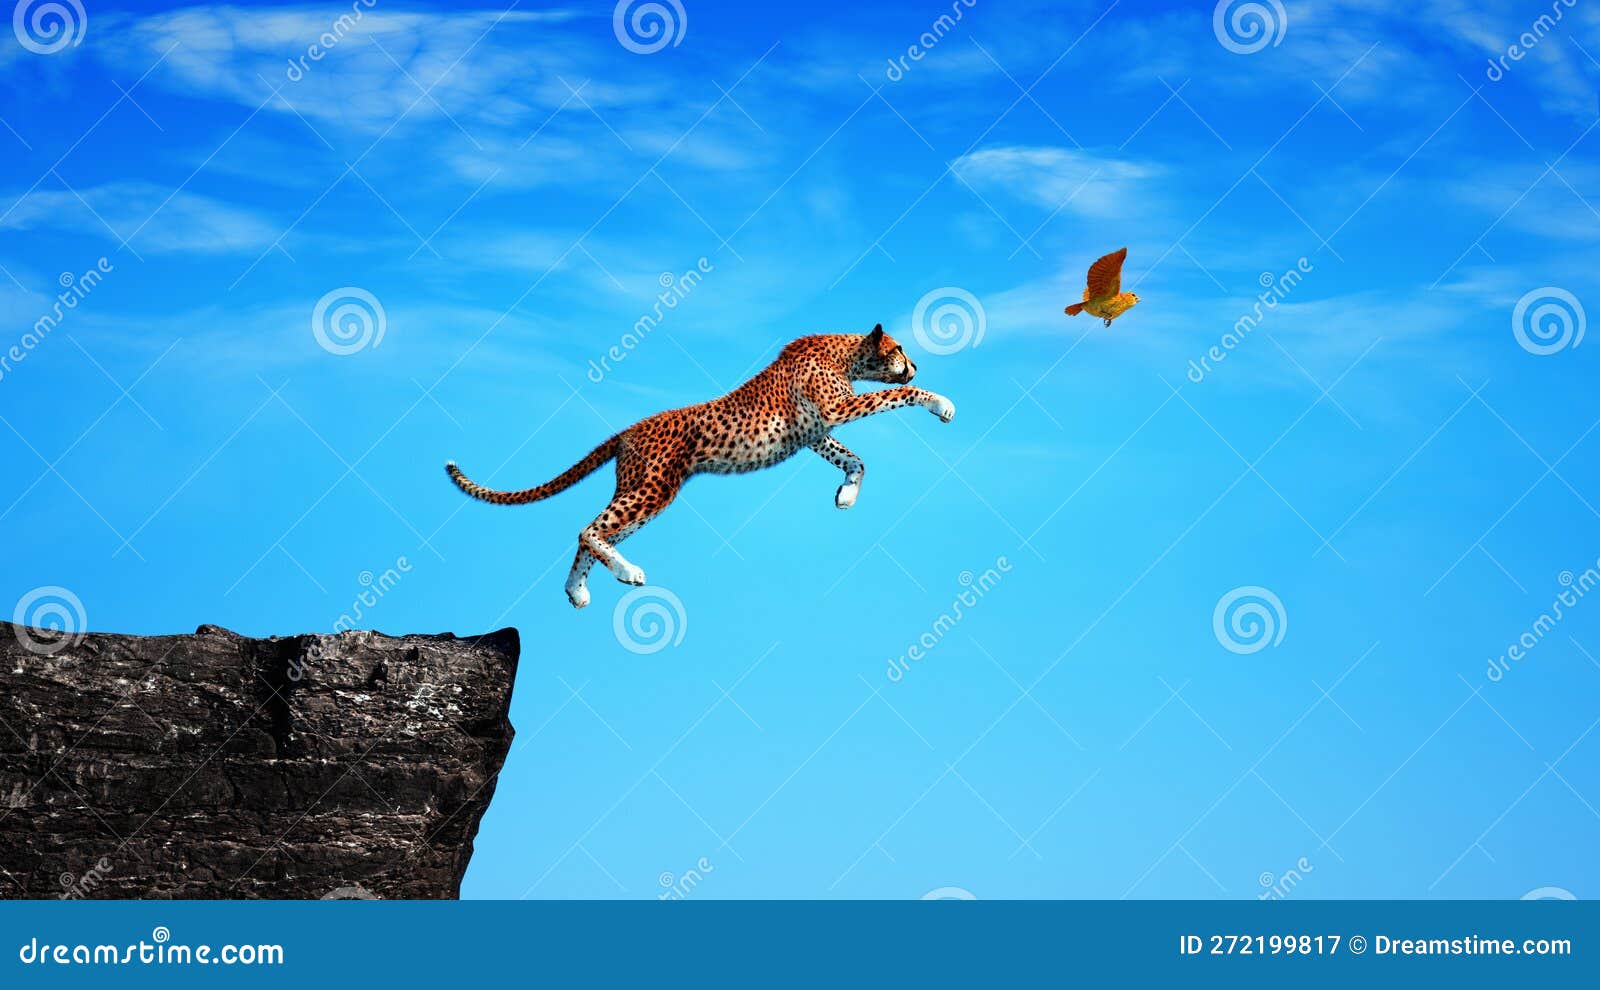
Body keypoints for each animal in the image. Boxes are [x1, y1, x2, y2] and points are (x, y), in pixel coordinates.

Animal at [446, 324, 956, 609]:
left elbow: (853, 458)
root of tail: (628, 429)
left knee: (593, 533)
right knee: (587, 528)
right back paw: (628, 573)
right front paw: (940, 402)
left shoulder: (814, 432)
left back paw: (578, 592)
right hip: (652, 490)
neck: (847, 355)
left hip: (646, 494)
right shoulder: (836, 409)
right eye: (899, 349)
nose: (915, 363)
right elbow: (900, 397)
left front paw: (846, 494)